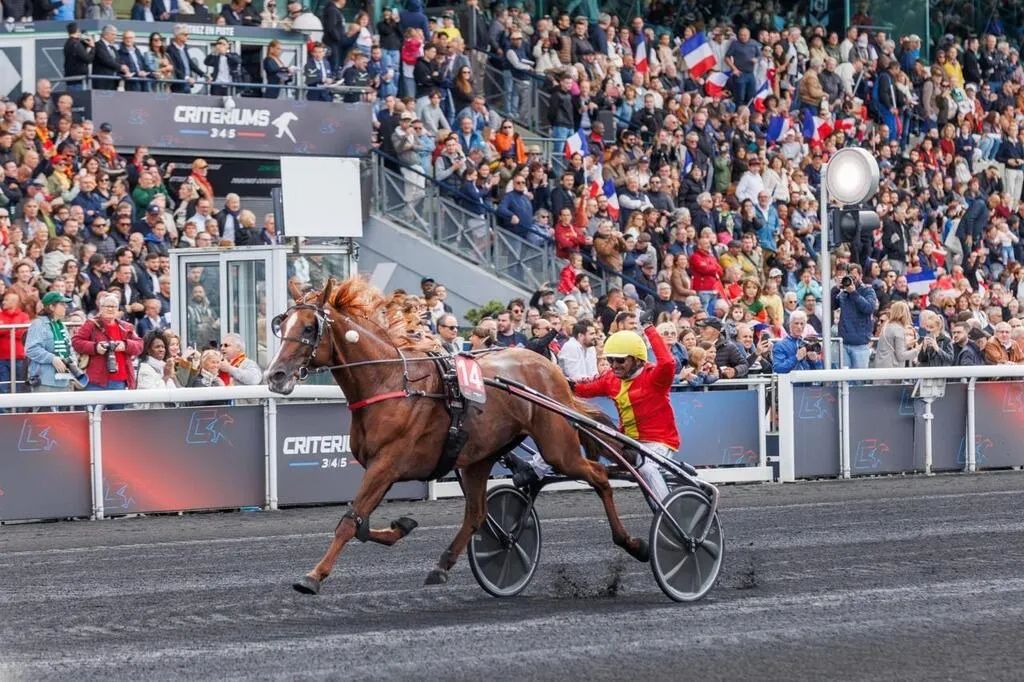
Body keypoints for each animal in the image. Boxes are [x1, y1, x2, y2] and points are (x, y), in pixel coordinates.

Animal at [264, 276, 650, 594]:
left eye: (310, 327)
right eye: (281, 323)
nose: (276, 375)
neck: (391, 382)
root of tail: (548, 366)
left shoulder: (386, 465)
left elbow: (349, 522)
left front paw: (313, 576)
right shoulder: (379, 468)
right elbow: (360, 522)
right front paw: (403, 525)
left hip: (558, 446)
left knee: (599, 476)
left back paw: (634, 543)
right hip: (479, 458)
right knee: (477, 513)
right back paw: (447, 563)